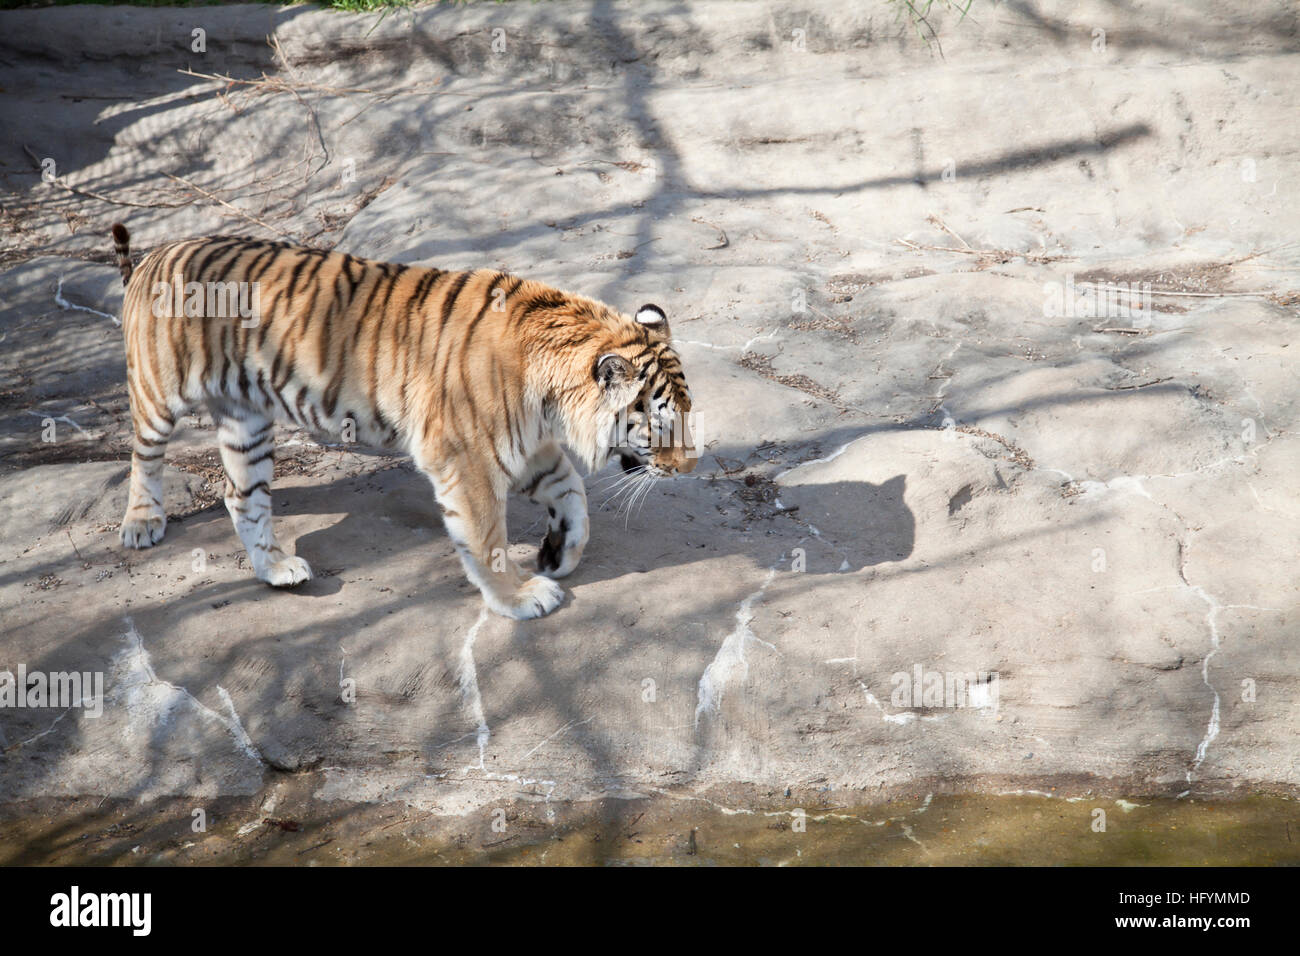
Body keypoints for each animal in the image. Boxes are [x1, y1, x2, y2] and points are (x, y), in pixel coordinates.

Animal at [109, 223, 696, 619]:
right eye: (661, 424)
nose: (691, 468)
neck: (549, 391)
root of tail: (155, 254)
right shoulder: (468, 458)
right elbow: (488, 537)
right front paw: (522, 596)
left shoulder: (526, 444)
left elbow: (571, 492)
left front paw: (559, 553)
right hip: (160, 393)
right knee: (143, 455)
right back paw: (141, 524)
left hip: (245, 420)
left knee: (240, 495)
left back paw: (278, 569)